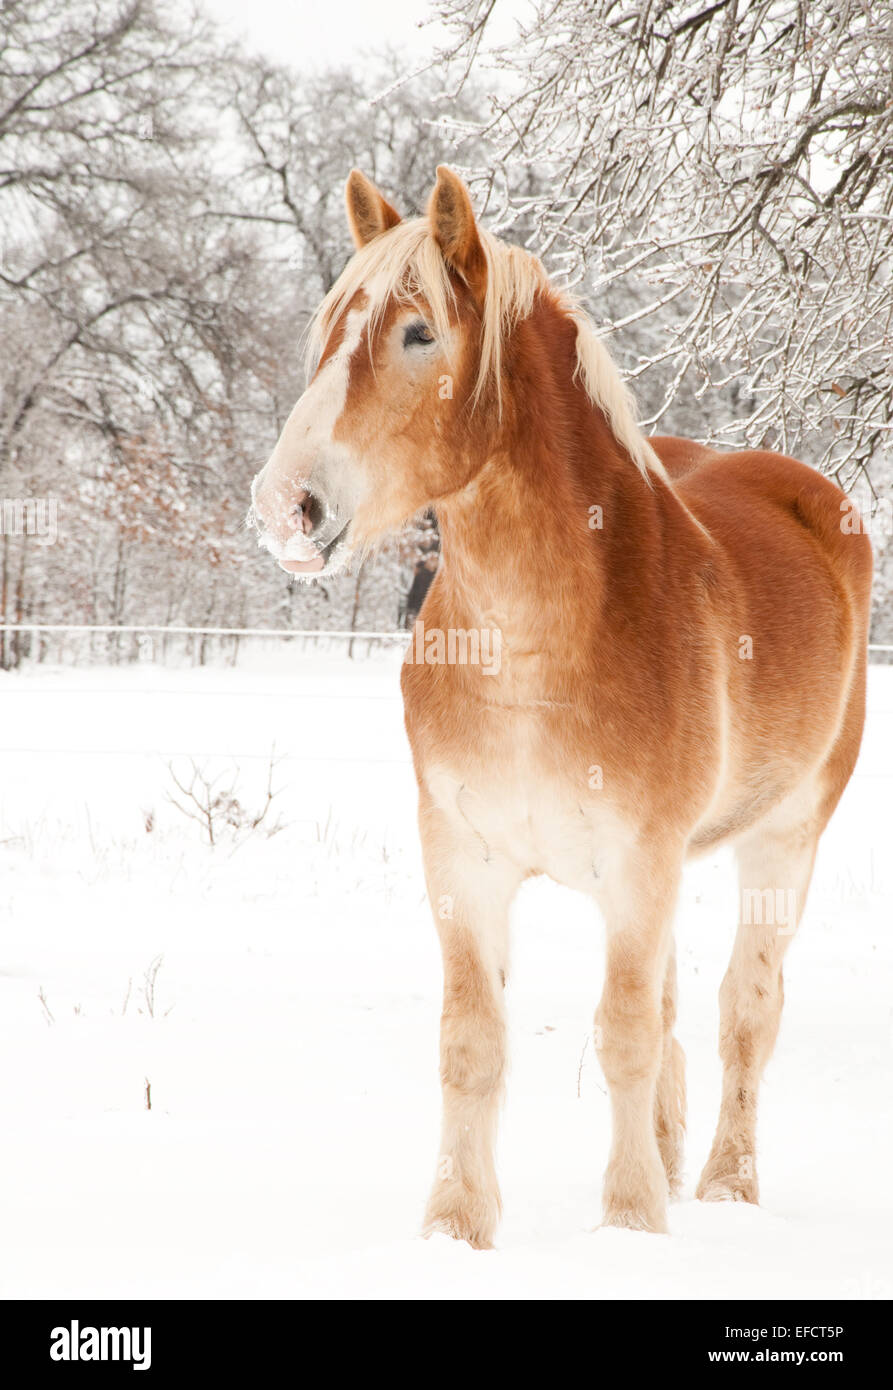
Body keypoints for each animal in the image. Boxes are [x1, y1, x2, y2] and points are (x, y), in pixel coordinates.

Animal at [249, 165, 873, 1248]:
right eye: (327, 328)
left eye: (417, 332)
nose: (286, 506)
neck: (538, 644)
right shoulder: (463, 862)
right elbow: (471, 1041)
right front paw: (455, 1227)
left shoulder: (636, 865)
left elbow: (623, 1033)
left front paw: (629, 1224)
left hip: (782, 839)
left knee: (743, 1012)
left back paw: (721, 1188)